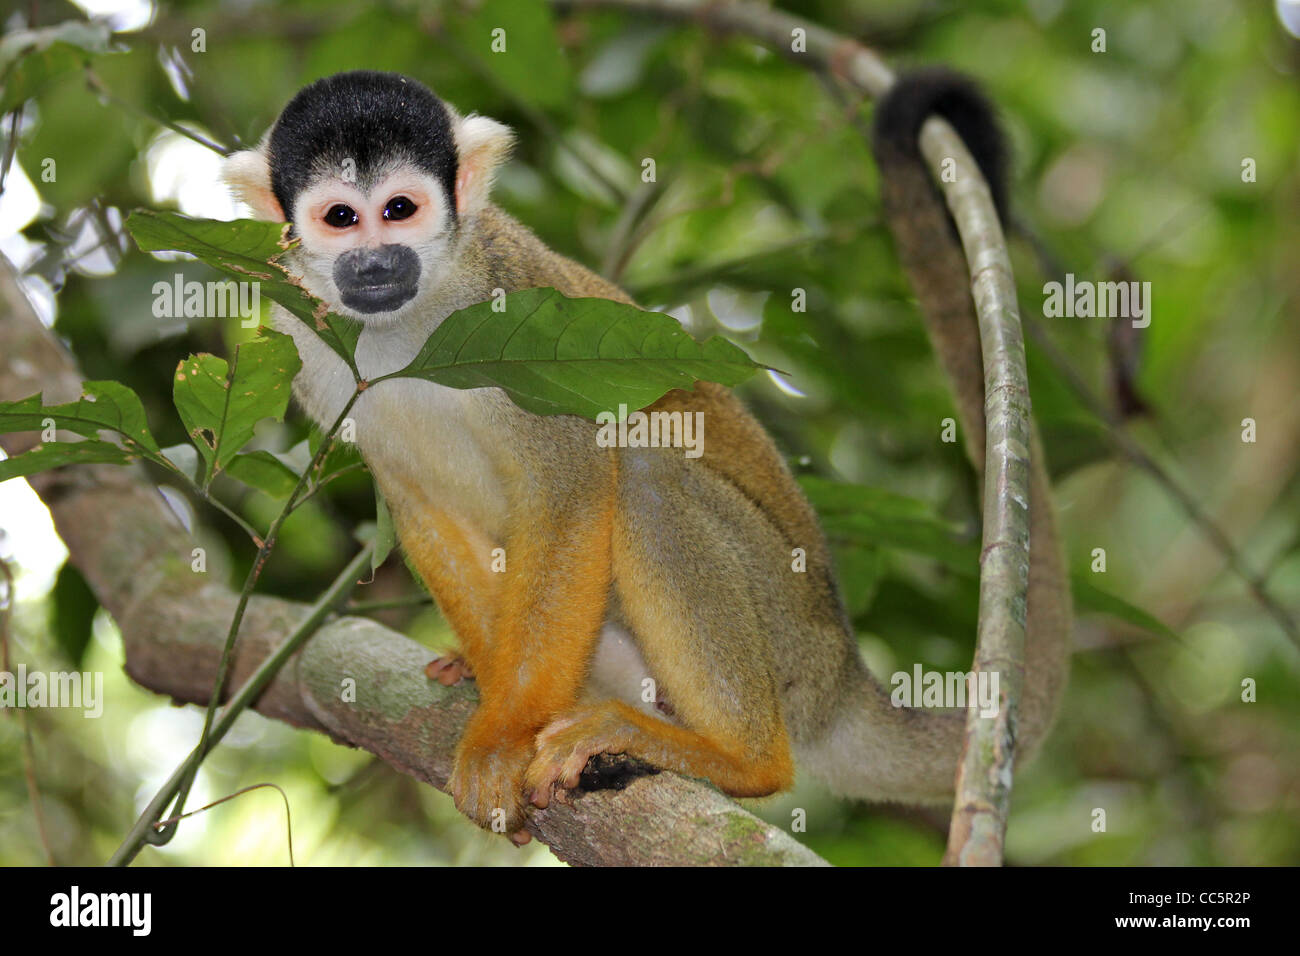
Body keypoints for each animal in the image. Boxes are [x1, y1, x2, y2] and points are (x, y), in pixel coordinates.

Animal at [221, 69, 1071, 843]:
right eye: (341, 218)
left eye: (399, 210)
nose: (374, 264)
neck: (404, 328)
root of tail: (840, 676)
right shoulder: (313, 347)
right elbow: (417, 504)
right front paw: (493, 690)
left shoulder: (514, 308)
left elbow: (573, 491)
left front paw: (503, 732)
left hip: (786, 629)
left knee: (646, 471)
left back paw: (740, 756)